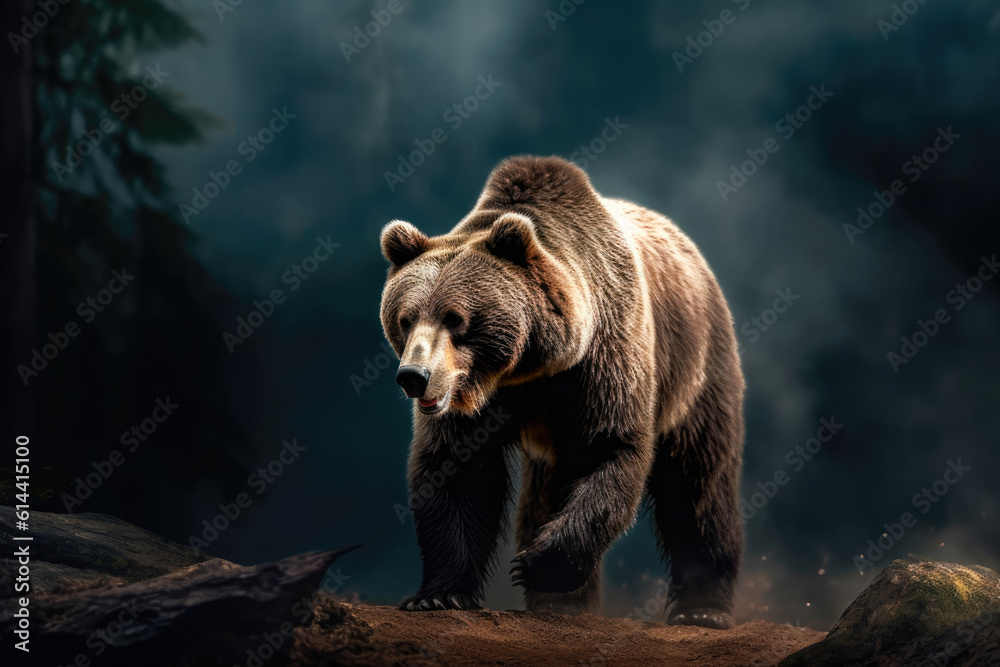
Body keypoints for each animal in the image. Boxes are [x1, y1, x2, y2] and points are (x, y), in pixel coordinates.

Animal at [379, 155, 745, 628]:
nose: (414, 376)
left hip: (696, 362)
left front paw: (535, 565)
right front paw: (438, 595)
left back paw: (702, 608)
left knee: (698, 479)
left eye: (455, 318)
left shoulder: (601, 356)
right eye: (405, 318)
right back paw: (562, 603)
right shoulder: (475, 404)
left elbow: (608, 449)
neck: (528, 367)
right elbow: (456, 471)